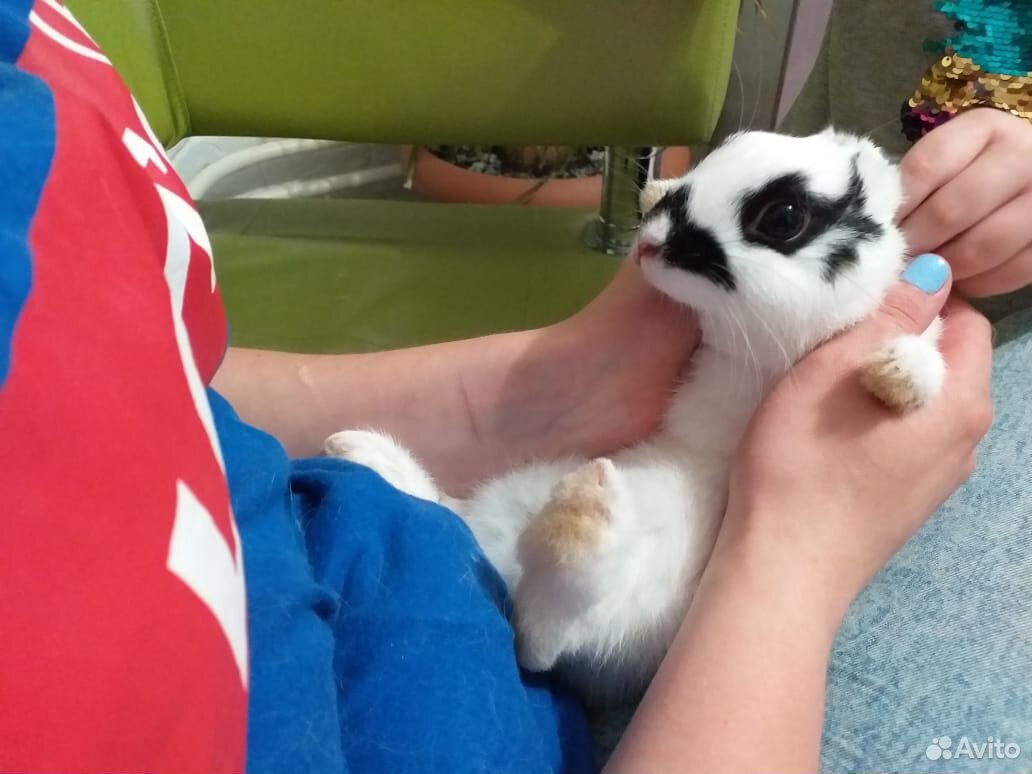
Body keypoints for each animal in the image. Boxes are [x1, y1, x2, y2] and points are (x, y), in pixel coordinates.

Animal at [323, 129, 946, 706]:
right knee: (528, 629)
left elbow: (923, 356)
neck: (763, 356)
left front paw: (893, 376)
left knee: (536, 635)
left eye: (783, 217)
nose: (649, 242)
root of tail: (500, 553)